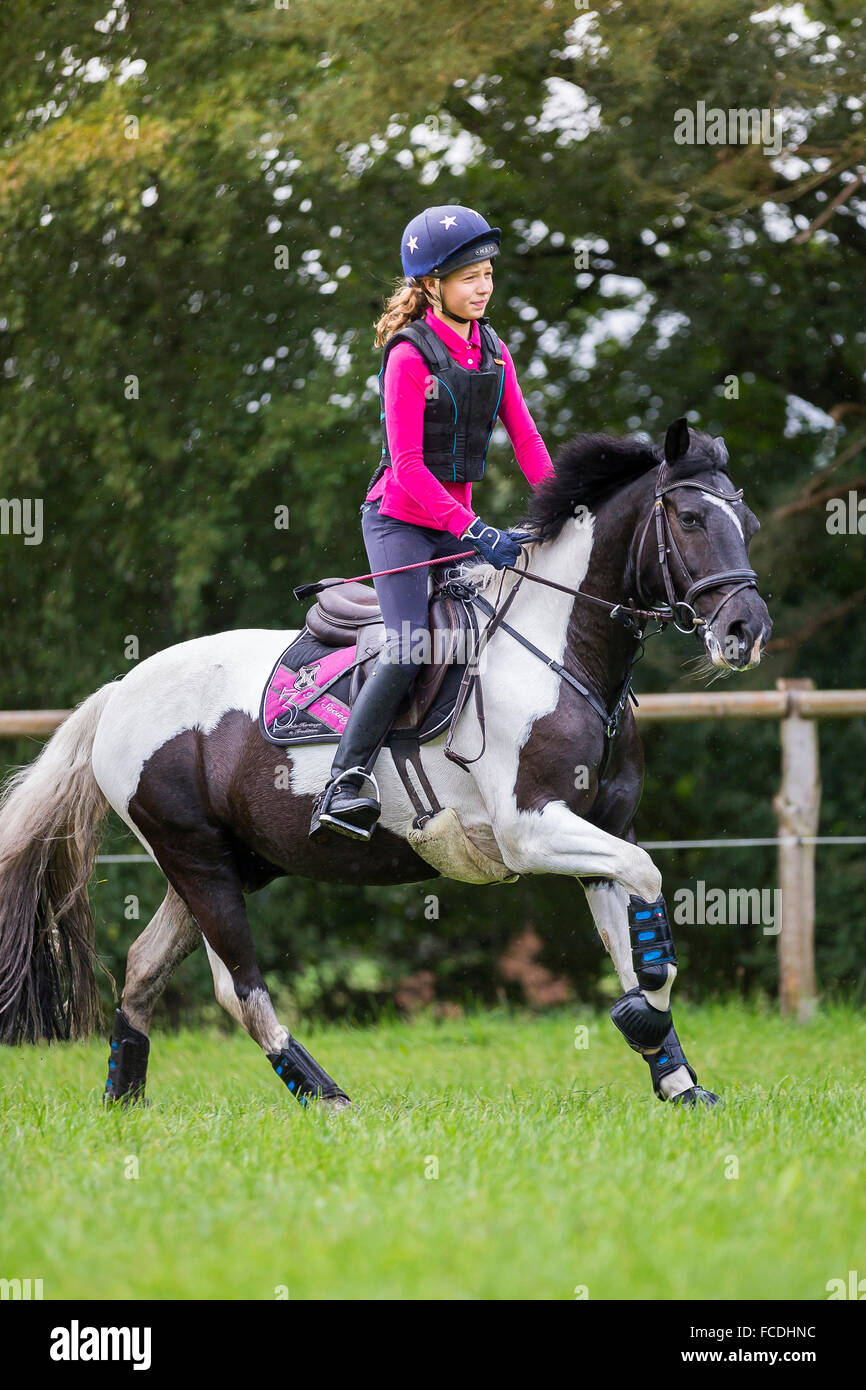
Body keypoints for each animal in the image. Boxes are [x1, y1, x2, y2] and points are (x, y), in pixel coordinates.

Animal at [0, 416, 770, 1109]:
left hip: (233, 860)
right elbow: (650, 897)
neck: (561, 653)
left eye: (749, 522)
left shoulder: (602, 831)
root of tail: (120, 692)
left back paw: (123, 1099)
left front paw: (676, 1078)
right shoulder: (533, 829)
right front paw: (650, 1033)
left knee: (142, 969)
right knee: (238, 986)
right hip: (196, 859)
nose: (746, 631)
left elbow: (640, 944)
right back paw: (323, 1095)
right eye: (692, 518)